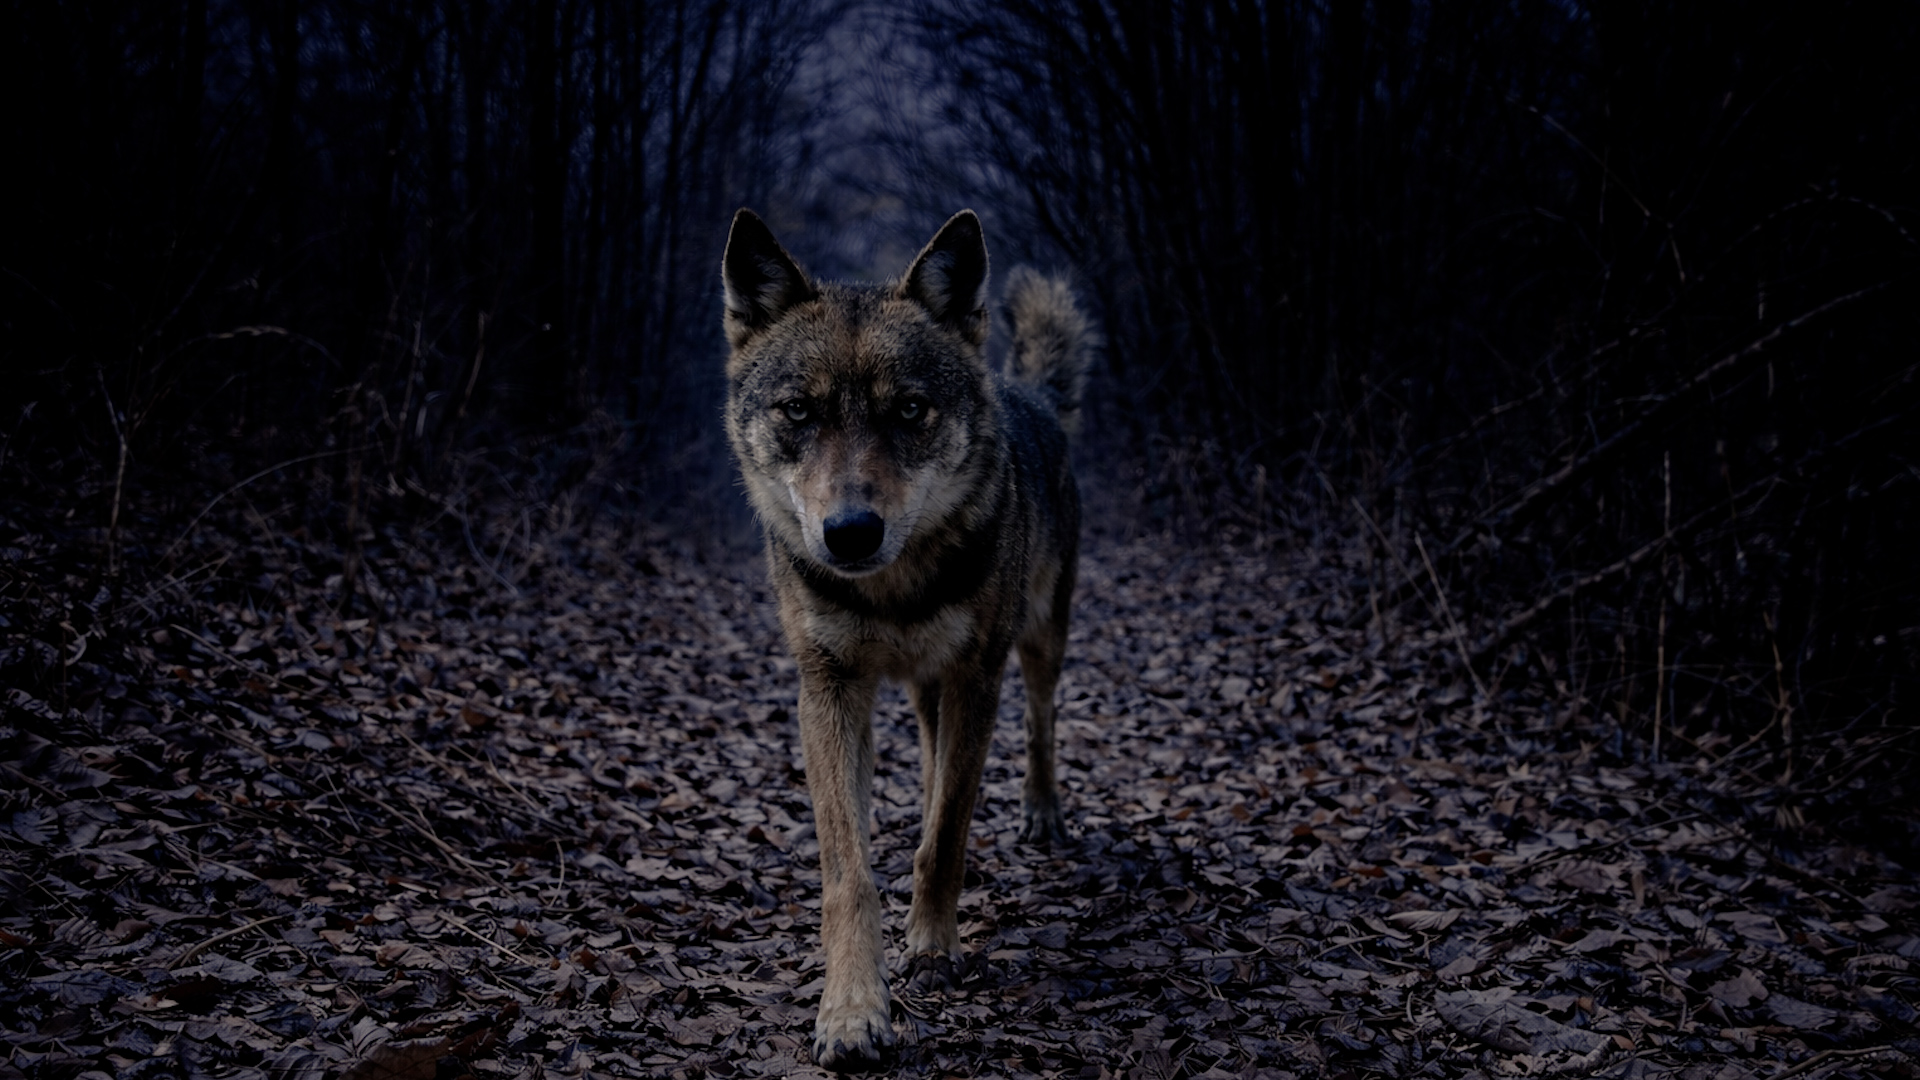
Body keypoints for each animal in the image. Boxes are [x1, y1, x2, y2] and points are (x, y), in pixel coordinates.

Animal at [720, 208, 1094, 1069]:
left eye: (910, 410)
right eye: (799, 411)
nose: (851, 532)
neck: (890, 591)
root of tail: (1029, 391)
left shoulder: (978, 674)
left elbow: (949, 829)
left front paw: (932, 946)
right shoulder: (827, 689)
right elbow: (848, 871)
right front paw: (852, 1011)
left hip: (1037, 642)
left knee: (1040, 721)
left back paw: (1042, 812)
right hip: (929, 685)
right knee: (932, 754)